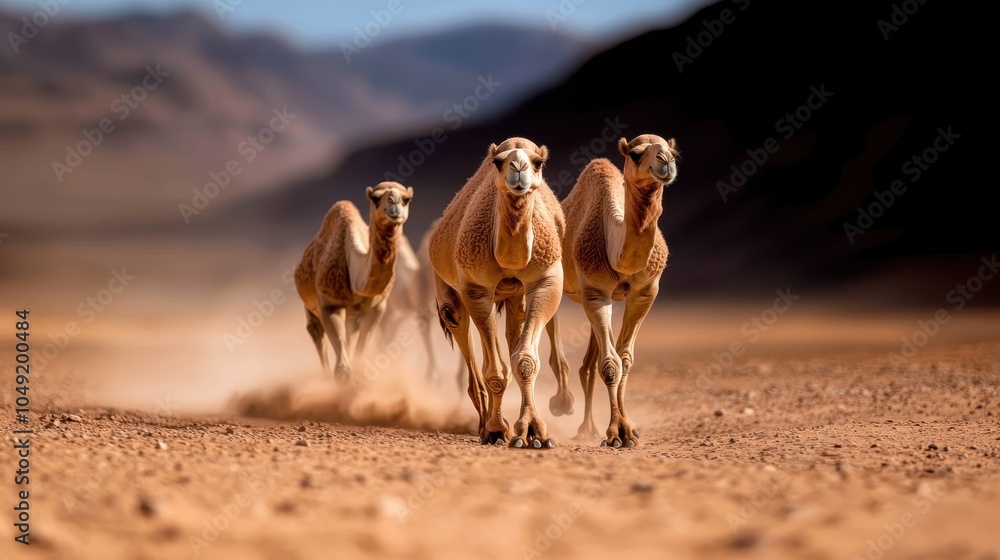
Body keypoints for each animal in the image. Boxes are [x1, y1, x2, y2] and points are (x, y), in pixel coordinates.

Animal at [294, 181, 413, 385]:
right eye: (376, 198)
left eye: (407, 199)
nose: (394, 205)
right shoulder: (330, 303)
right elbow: (342, 370)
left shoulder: (377, 308)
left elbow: (359, 360)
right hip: (311, 305)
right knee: (315, 331)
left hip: (351, 317)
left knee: (349, 335)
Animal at [429, 137, 569, 447]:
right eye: (498, 162)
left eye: (538, 162)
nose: (518, 168)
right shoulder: (476, 288)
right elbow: (495, 371)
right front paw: (496, 430)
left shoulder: (545, 281)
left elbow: (525, 360)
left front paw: (534, 433)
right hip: (451, 291)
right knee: (460, 328)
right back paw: (485, 426)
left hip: (514, 297)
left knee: (513, 335)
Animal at [555, 134, 678, 448]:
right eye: (636, 154)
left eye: (673, 152)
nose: (666, 162)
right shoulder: (596, 291)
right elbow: (610, 363)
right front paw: (615, 434)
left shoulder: (645, 292)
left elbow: (624, 359)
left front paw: (629, 430)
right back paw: (561, 404)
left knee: (588, 366)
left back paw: (587, 428)